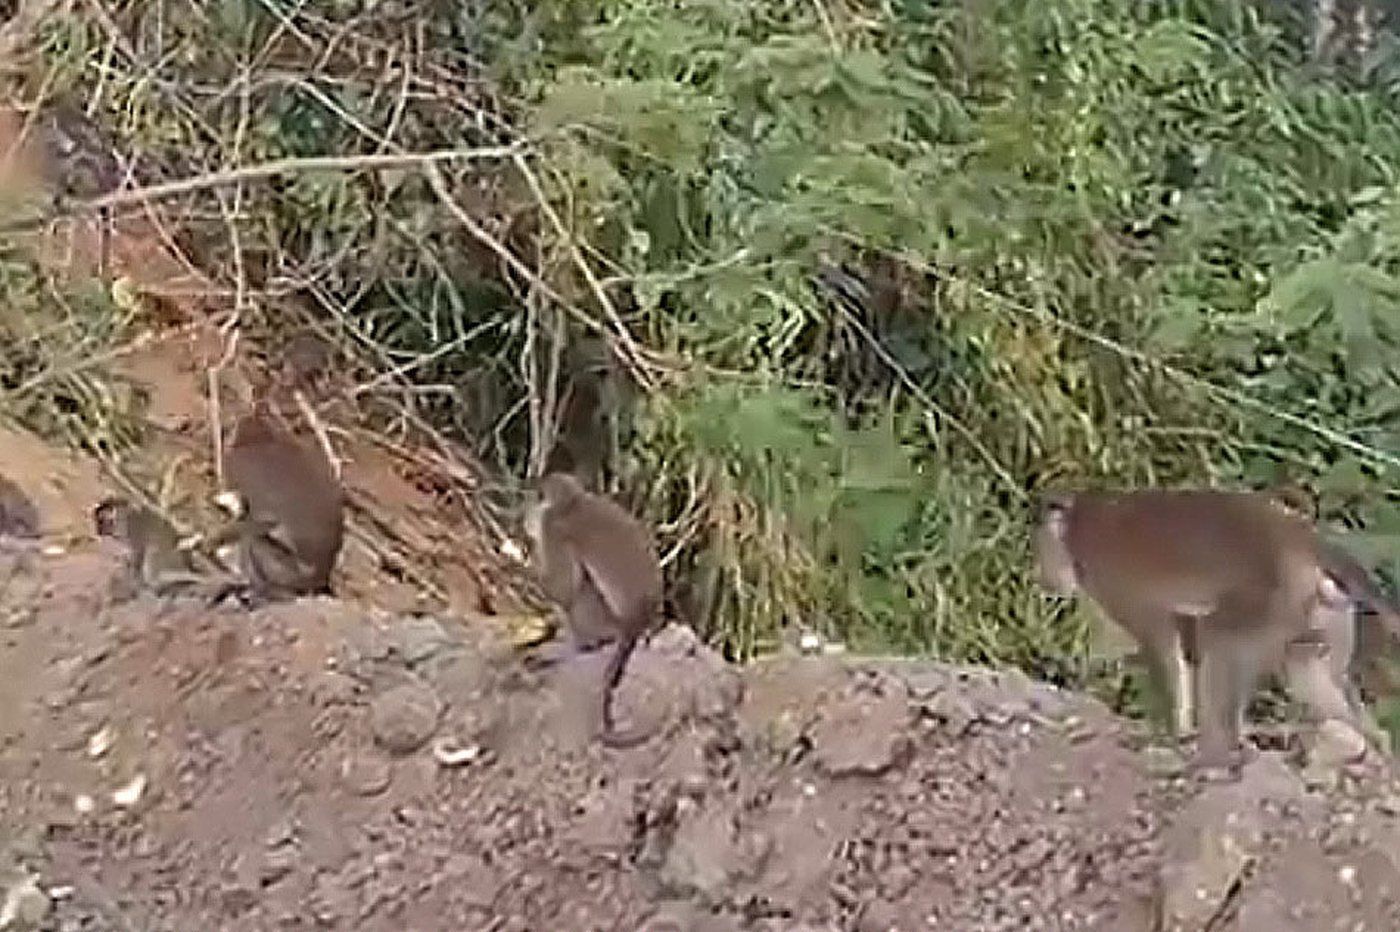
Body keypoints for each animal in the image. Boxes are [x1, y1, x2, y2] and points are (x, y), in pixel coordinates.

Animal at [210, 405, 344, 605]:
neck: (265, 439)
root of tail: (320, 577)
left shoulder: (238, 468)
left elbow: (258, 522)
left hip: (288, 571)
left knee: (253, 540)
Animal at [522, 471, 665, 749]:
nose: (524, 520)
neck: (572, 503)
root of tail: (634, 623)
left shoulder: (553, 531)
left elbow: (563, 589)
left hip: (598, 617)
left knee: (580, 591)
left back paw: (576, 645)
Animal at [1033, 488, 1400, 774]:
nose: (1044, 580)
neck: (1083, 520)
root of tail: (1304, 538)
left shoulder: (1111, 581)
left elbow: (1162, 644)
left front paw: (1171, 733)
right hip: (1322, 611)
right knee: (1310, 673)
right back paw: (1375, 748)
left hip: (1270, 599)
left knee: (1220, 640)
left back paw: (1214, 757)